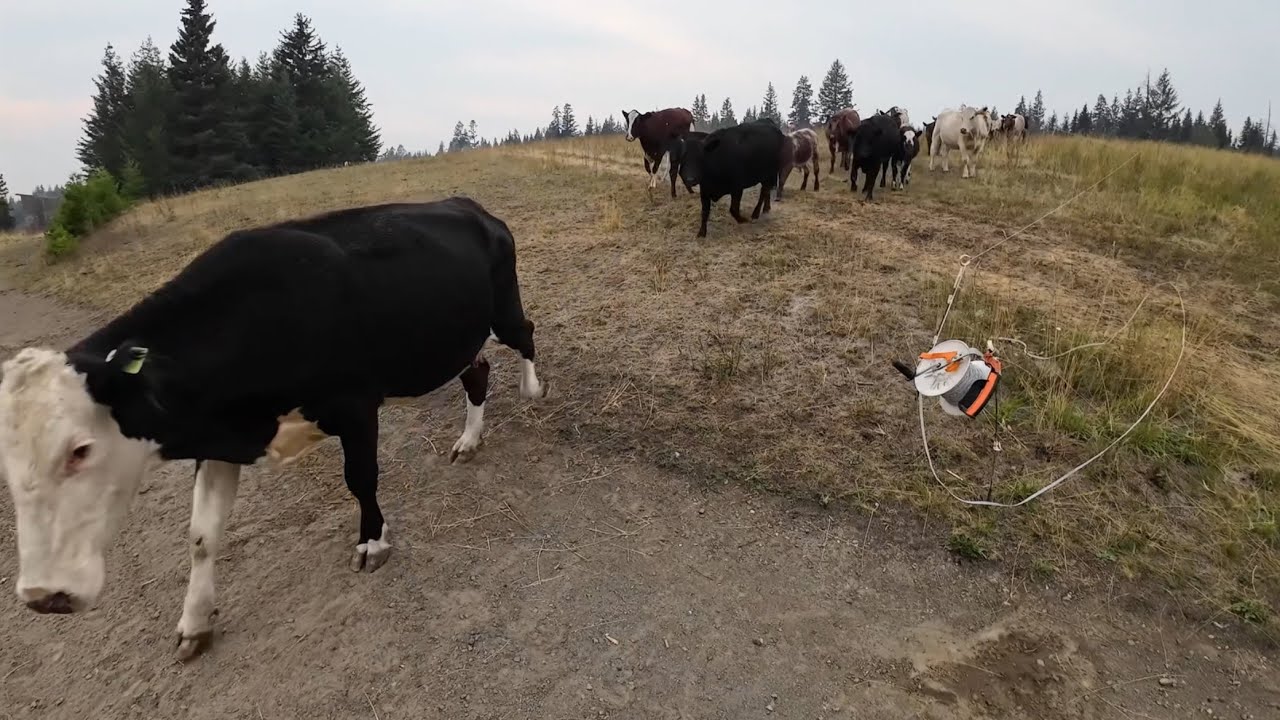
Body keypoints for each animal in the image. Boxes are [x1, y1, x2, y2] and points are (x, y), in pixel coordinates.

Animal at [0, 198, 550, 660]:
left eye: (79, 449)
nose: (42, 595)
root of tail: (468, 205)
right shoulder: (217, 440)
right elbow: (202, 534)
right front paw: (194, 622)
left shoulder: (354, 405)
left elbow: (361, 479)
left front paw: (372, 544)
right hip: (457, 338)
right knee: (477, 372)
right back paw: (468, 440)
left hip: (502, 310)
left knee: (525, 335)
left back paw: (532, 389)